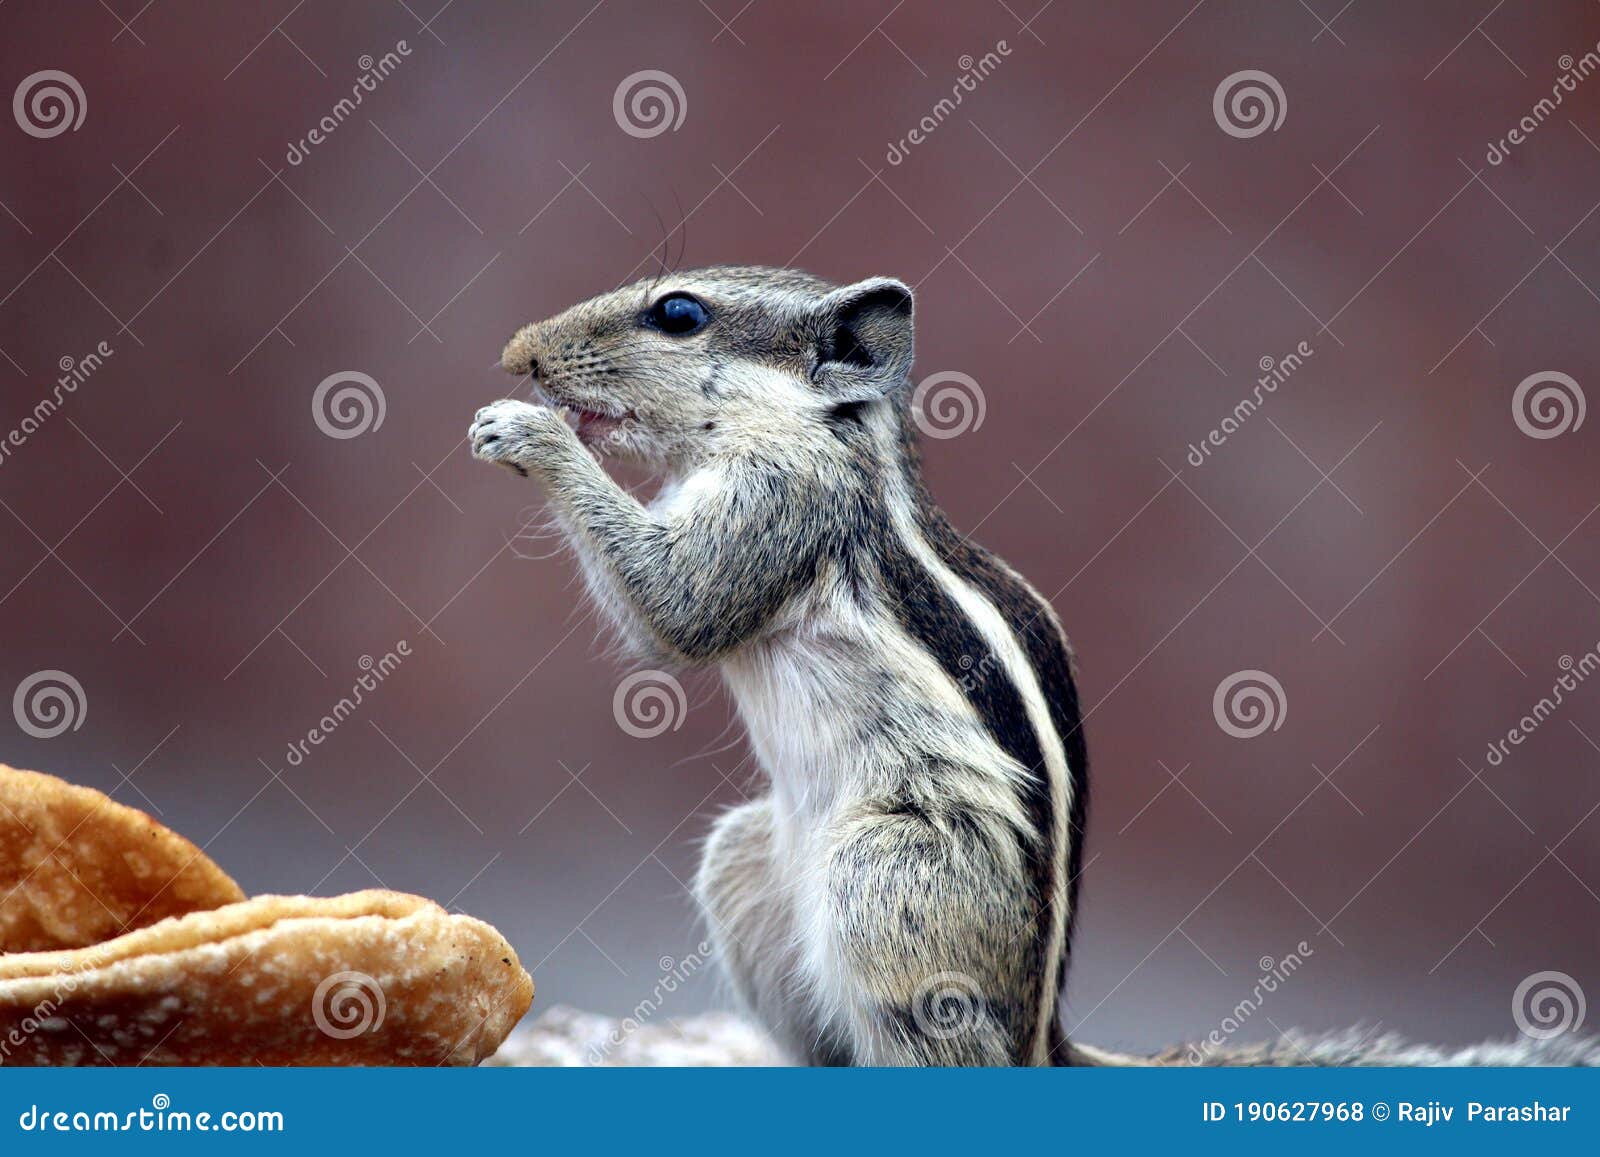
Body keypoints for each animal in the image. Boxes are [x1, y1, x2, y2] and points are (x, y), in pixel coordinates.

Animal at [471, 266, 1597, 1068]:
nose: (519, 353)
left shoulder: (778, 503)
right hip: (750, 862)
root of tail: (1044, 1032)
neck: (832, 439)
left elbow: (677, 607)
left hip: (885, 875)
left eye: (677, 313)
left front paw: (527, 433)